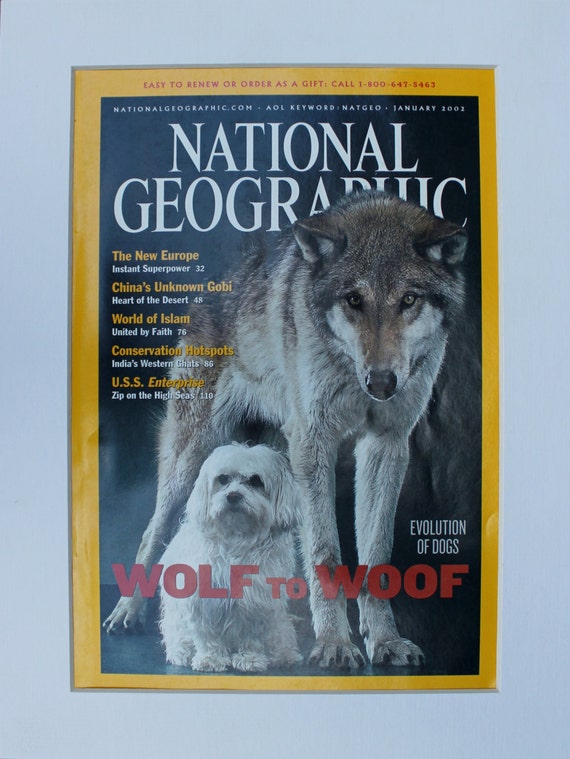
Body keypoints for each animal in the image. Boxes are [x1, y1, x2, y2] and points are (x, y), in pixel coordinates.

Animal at [104, 191, 468, 668]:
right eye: (354, 300)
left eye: (409, 299)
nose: (381, 383)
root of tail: (214, 286)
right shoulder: (315, 442)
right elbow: (326, 554)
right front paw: (334, 644)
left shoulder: (386, 445)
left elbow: (375, 556)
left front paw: (385, 642)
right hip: (194, 456)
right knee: (154, 530)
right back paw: (127, 611)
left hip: (277, 456)